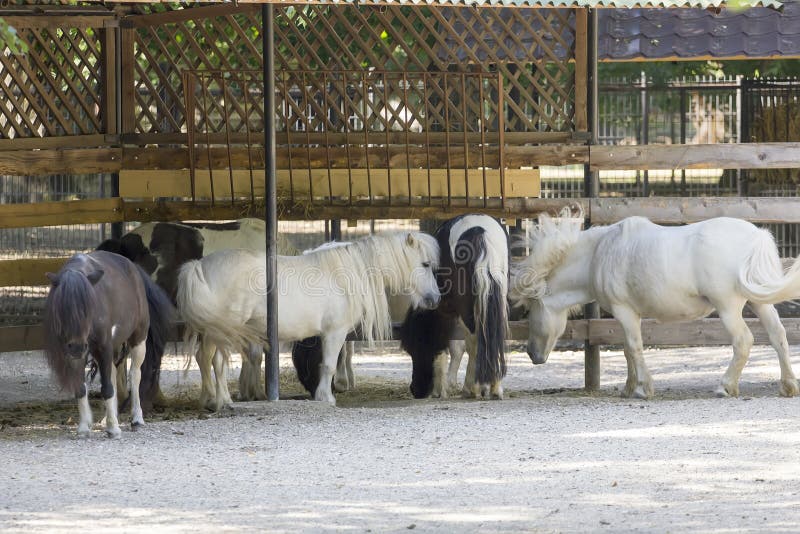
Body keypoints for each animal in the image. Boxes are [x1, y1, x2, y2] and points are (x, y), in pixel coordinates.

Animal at [43, 251, 174, 437]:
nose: (77, 347)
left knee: (135, 375)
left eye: (89, 307)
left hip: (138, 340)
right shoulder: (76, 353)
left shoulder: (102, 346)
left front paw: (113, 429)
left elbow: (107, 388)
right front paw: (84, 427)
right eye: (62, 307)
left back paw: (136, 419)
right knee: (112, 376)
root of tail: (133, 267)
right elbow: (82, 388)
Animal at [177, 231, 441, 407]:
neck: (347, 273)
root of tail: (200, 266)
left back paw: (209, 400)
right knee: (217, 361)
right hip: (224, 331)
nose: (435, 299)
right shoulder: (335, 332)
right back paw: (223, 401)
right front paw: (327, 397)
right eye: (425, 264)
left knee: (204, 358)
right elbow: (329, 365)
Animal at [401, 214, 509, 400]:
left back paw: (473, 387)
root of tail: (479, 230)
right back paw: (495, 388)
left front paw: (442, 388)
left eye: (415, 347)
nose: (416, 390)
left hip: (467, 308)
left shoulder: (445, 313)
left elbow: (451, 347)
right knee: (493, 334)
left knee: (475, 340)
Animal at [510, 210, 800, 399]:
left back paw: (725, 386)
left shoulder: (624, 311)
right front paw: (628, 387)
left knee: (743, 341)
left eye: (528, 309)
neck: (598, 254)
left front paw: (642, 389)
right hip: (759, 303)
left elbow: (634, 347)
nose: (531, 353)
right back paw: (788, 385)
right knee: (778, 335)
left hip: (728, 307)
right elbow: (627, 350)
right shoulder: (627, 315)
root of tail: (756, 236)